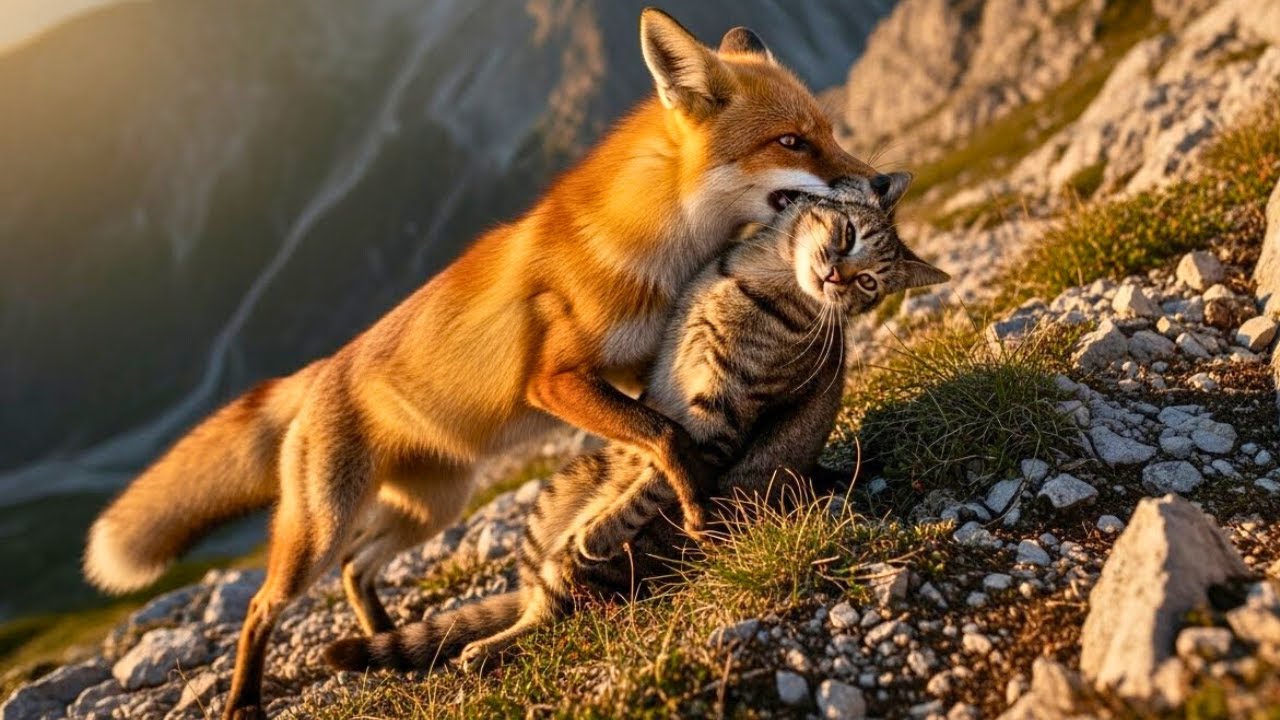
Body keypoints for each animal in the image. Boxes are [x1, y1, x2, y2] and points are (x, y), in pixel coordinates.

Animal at [83, 8, 890, 719]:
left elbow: (664, 438)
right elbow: (666, 439)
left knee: (359, 568)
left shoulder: (638, 372)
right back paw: (248, 699)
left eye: (828, 131)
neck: (660, 246)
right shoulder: (555, 379)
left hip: (432, 507)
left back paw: (387, 644)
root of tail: (321, 370)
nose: (883, 181)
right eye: (793, 141)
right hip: (321, 528)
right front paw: (688, 507)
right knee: (260, 605)